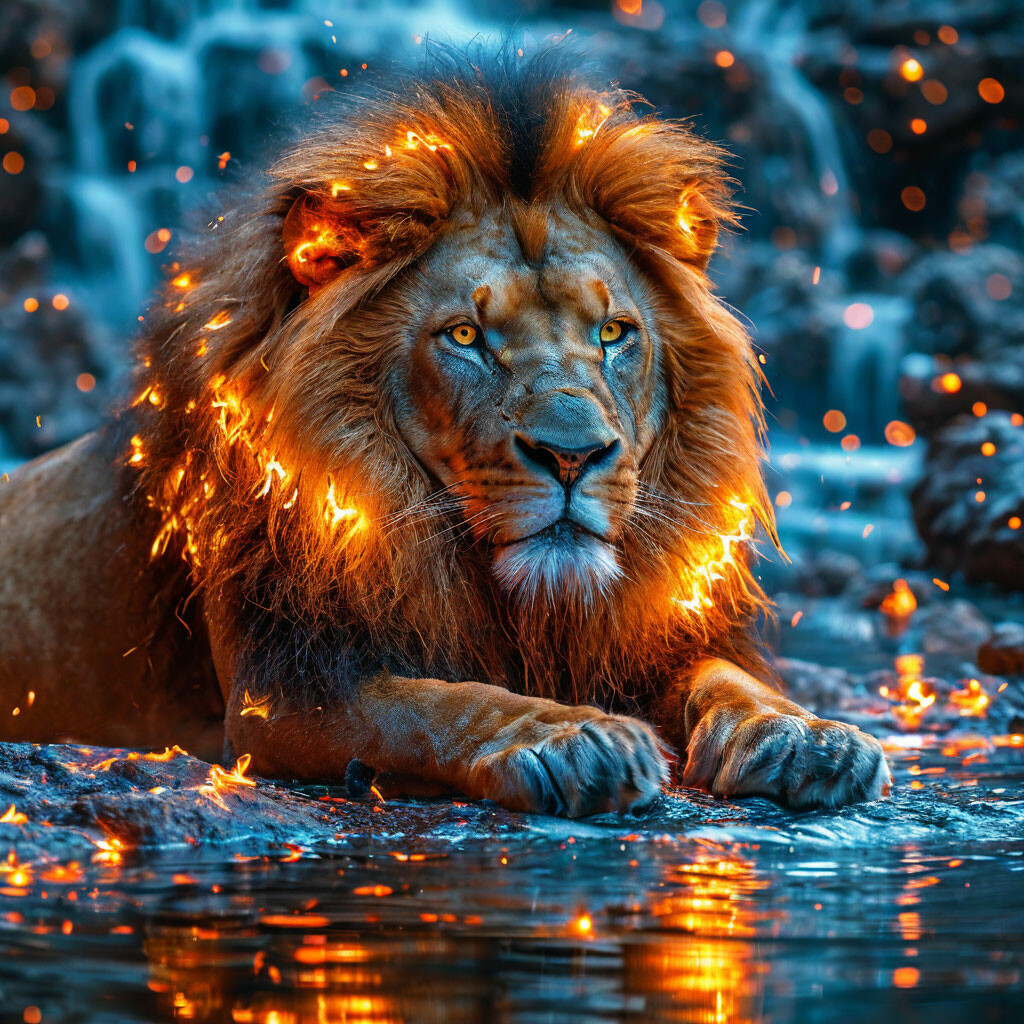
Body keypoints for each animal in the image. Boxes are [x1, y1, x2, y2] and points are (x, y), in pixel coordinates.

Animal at [0, 47, 889, 815]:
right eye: (465, 337)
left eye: (612, 333)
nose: (573, 455)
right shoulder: (281, 693)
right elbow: (437, 702)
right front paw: (571, 738)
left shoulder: (645, 641)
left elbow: (729, 679)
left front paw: (809, 737)